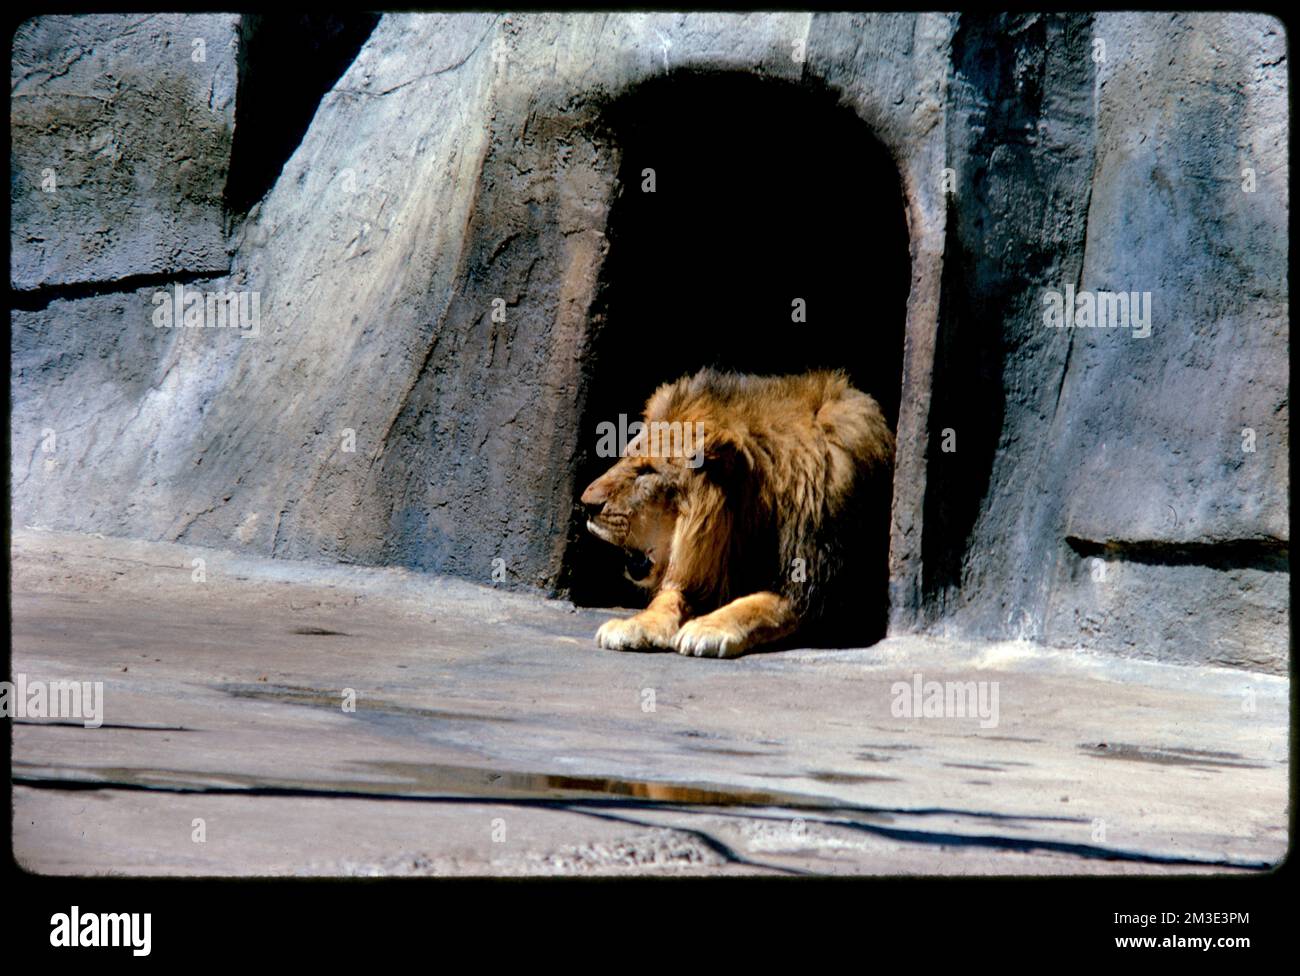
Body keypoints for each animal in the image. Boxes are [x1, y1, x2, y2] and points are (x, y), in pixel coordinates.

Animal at [580, 368, 895, 658]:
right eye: (626, 457)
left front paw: (707, 627)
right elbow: (668, 598)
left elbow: (760, 604)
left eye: (648, 471)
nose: (586, 504)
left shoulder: (823, 592)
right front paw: (634, 624)